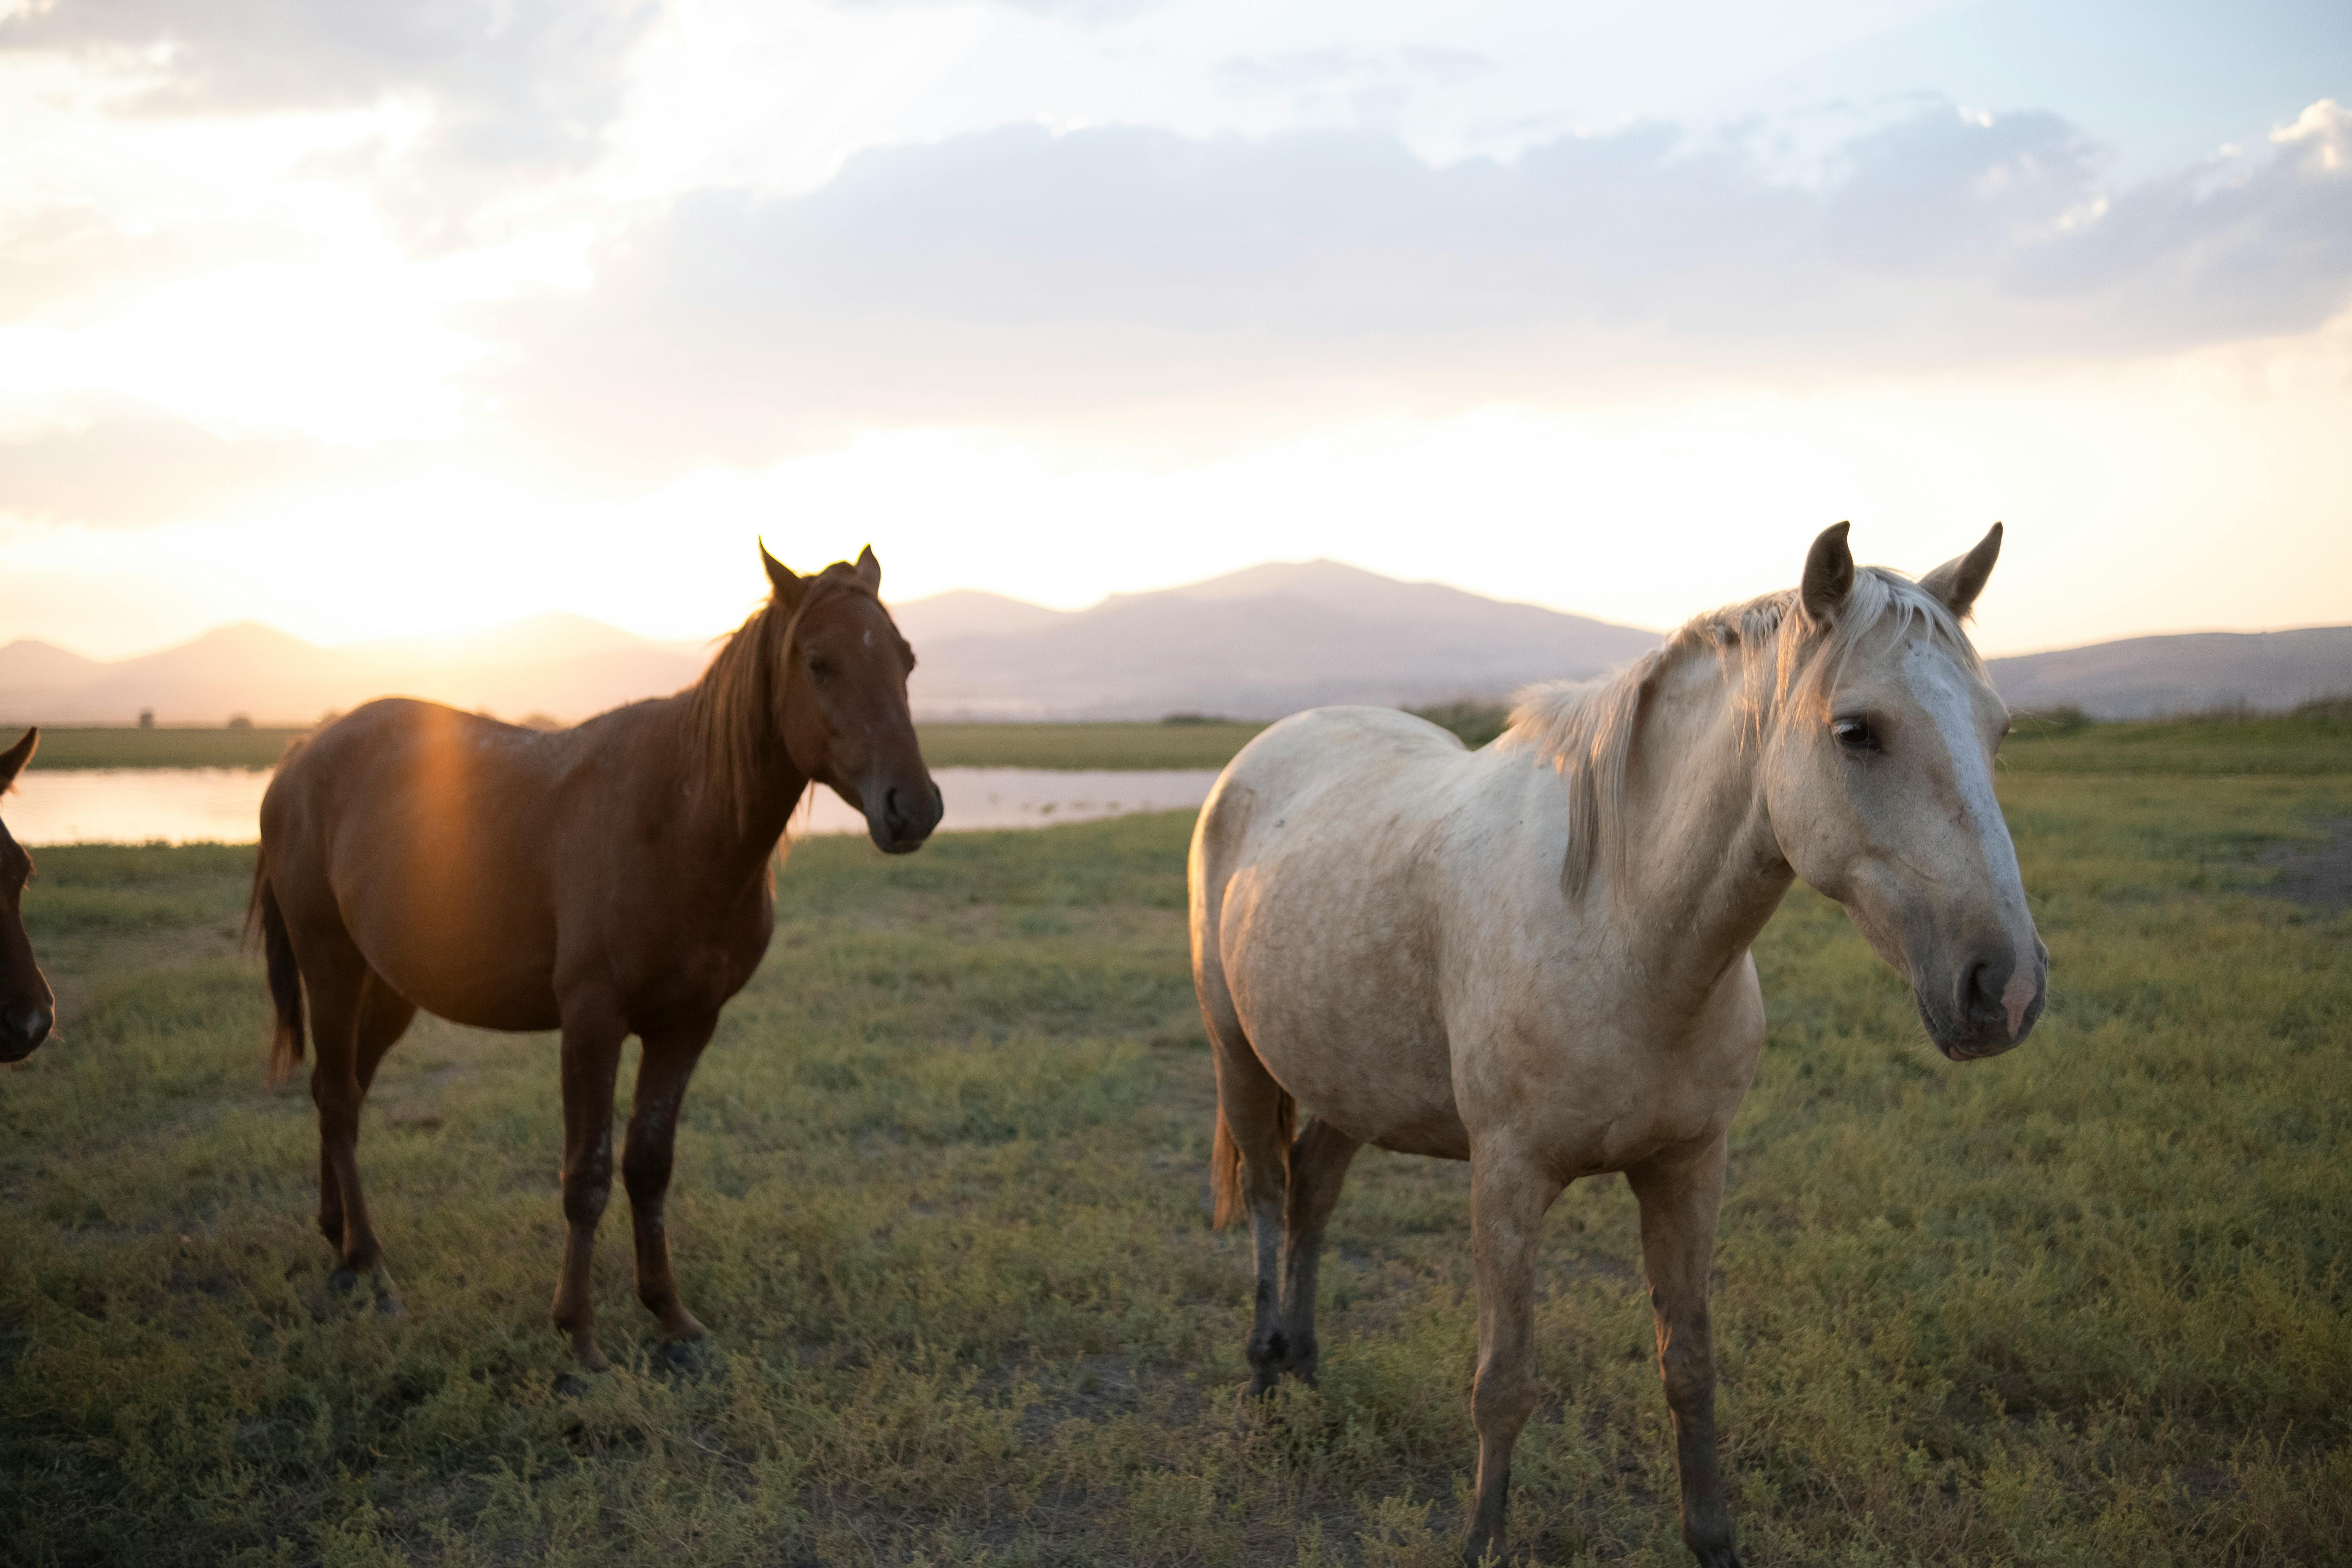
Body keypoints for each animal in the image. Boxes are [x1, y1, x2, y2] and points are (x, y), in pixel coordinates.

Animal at [250, 545, 941, 1368]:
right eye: (819, 663)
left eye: (905, 659)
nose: (914, 807)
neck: (680, 821)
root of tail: (300, 755)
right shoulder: (592, 1021)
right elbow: (586, 1175)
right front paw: (577, 1338)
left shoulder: (687, 1025)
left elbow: (648, 1165)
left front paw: (672, 1318)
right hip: (332, 968)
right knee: (339, 1099)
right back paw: (370, 1266)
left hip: (387, 990)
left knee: (341, 1093)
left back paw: (340, 1246)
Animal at [1190, 523, 2044, 1566]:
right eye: (1856, 730)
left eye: (1998, 730)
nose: (2004, 986)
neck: (1620, 923)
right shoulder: (1506, 1176)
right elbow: (1503, 1383)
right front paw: (1481, 1541)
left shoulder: (1688, 1165)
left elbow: (1689, 1364)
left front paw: (1712, 1539)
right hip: (1237, 1050)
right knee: (1271, 1196)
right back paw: (1265, 1375)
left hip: (1350, 1080)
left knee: (1313, 1195)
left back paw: (1308, 1369)